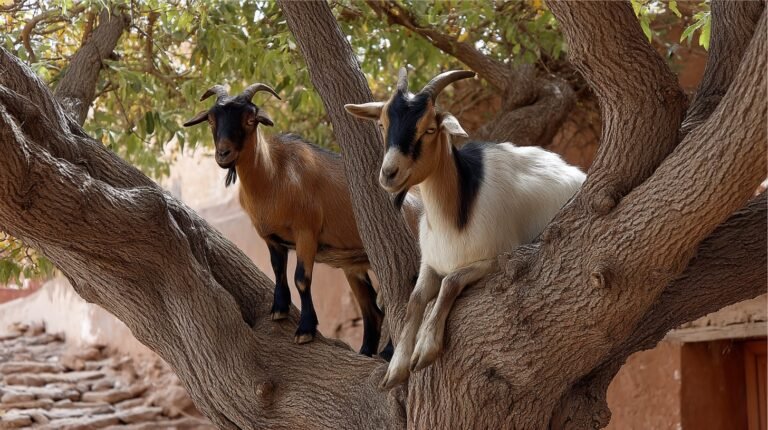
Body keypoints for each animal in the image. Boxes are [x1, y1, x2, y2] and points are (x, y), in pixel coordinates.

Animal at [184, 83, 419, 357]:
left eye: (250, 119)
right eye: (211, 119)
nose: (224, 154)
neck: (274, 176)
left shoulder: (306, 233)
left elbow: (301, 279)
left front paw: (305, 330)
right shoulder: (270, 236)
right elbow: (277, 268)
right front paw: (279, 309)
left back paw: (388, 351)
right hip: (354, 264)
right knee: (372, 310)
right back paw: (366, 351)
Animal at [345, 69, 586, 388]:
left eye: (429, 129)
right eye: (383, 123)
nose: (389, 174)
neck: (454, 218)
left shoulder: (494, 258)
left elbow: (450, 282)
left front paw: (425, 348)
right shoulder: (430, 263)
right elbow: (415, 300)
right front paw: (396, 368)